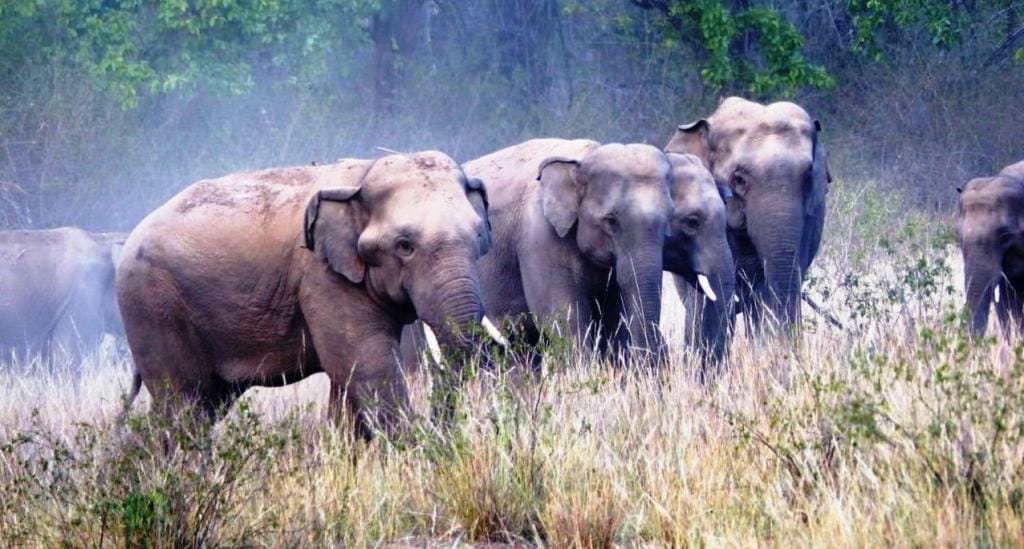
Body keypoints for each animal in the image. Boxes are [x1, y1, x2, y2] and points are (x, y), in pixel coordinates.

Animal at [117, 151, 504, 439]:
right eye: (404, 246)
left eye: (478, 237)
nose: (443, 429)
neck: (364, 175)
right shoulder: (323, 278)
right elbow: (368, 364)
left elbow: (347, 380)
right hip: (154, 307)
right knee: (184, 402)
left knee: (205, 402)